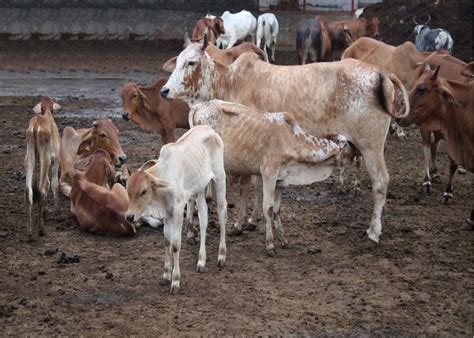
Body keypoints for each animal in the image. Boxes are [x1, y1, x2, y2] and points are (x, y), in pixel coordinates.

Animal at [24, 96, 61, 242]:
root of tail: (36, 125)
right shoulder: (55, 159)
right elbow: (54, 184)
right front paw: (55, 211)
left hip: (30, 156)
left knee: (28, 190)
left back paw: (30, 232)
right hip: (45, 158)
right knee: (42, 188)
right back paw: (41, 229)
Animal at [189, 99, 348, 256]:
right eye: (346, 145)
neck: (291, 139)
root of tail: (198, 106)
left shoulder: (281, 179)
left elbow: (277, 209)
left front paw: (283, 239)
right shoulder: (269, 173)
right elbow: (269, 208)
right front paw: (270, 244)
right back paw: (191, 234)